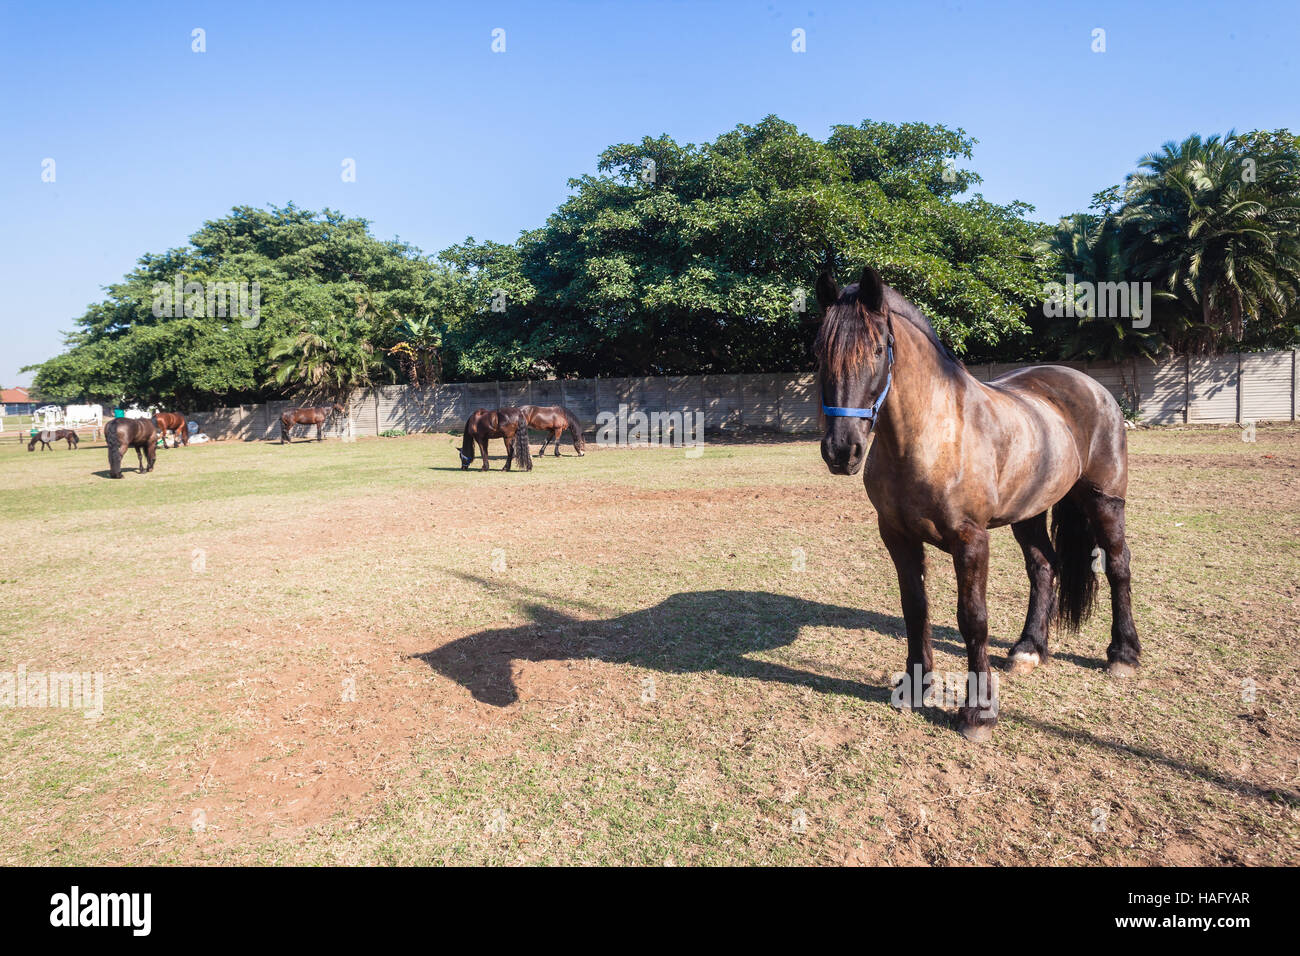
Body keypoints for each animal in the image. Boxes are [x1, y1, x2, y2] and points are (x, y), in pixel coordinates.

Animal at [815, 265, 1140, 742]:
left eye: (876, 349)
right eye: (820, 353)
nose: (842, 451)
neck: (931, 435)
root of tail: (1092, 387)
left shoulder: (971, 540)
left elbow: (973, 619)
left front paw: (979, 712)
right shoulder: (897, 536)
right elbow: (915, 608)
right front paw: (916, 687)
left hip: (1105, 501)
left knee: (1118, 565)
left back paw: (1123, 653)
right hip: (1029, 513)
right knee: (1044, 567)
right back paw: (1029, 649)